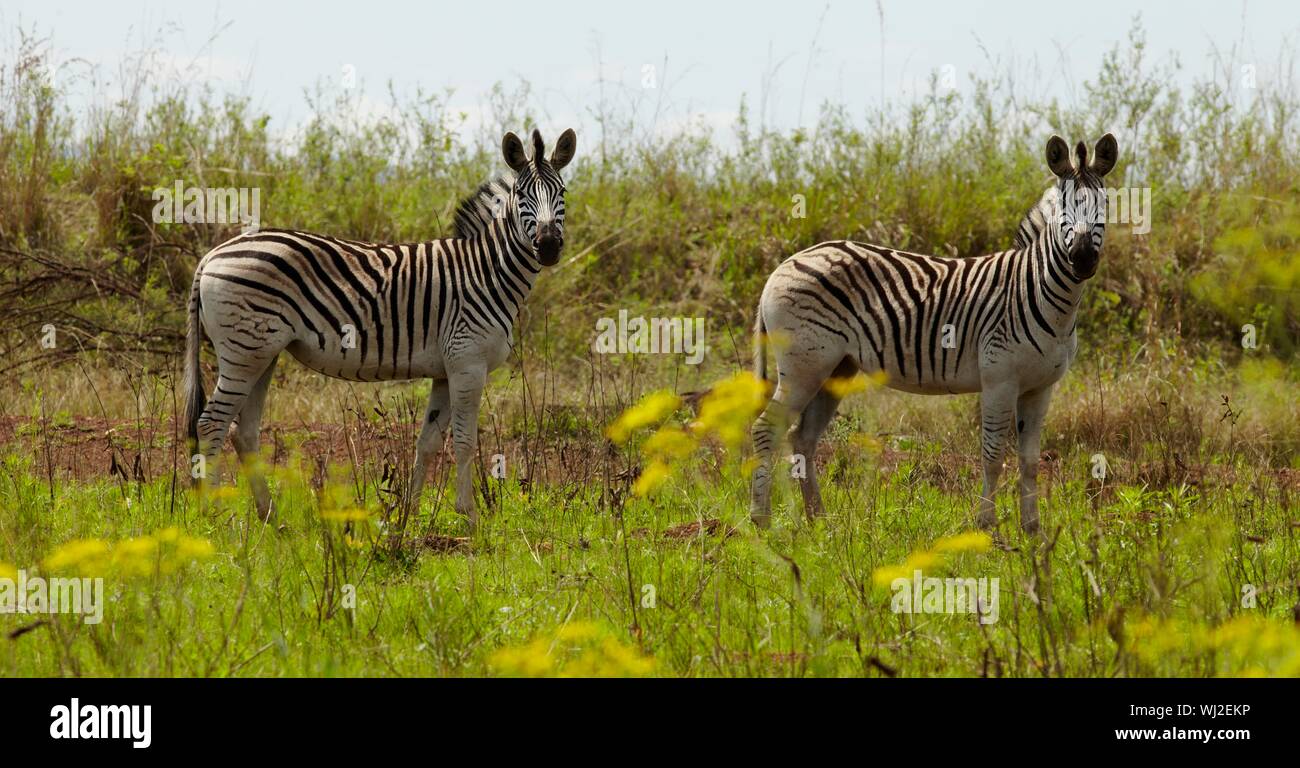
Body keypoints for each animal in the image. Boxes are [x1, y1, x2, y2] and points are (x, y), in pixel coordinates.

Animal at [181, 128, 577, 530]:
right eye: (522, 195)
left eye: (562, 192)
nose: (547, 246)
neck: (485, 272)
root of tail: (211, 256)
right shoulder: (468, 363)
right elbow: (465, 441)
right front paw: (470, 518)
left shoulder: (446, 370)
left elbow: (428, 442)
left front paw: (408, 518)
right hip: (244, 351)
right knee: (212, 424)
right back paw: (213, 517)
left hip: (262, 354)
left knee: (242, 431)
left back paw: (270, 518)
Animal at [749, 134, 1118, 533]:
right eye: (1063, 208)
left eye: (1104, 205)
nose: (1082, 259)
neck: (1040, 291)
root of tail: (784, 265)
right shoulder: (999, 379)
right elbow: (992, 456)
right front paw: (987, 527)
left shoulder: (1041, 387)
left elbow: (1030, 460)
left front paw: (1032, 531)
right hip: (804, 365)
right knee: (765, 428)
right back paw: (761, 522)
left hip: (836, 368)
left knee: (803, 437)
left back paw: (819, 519)